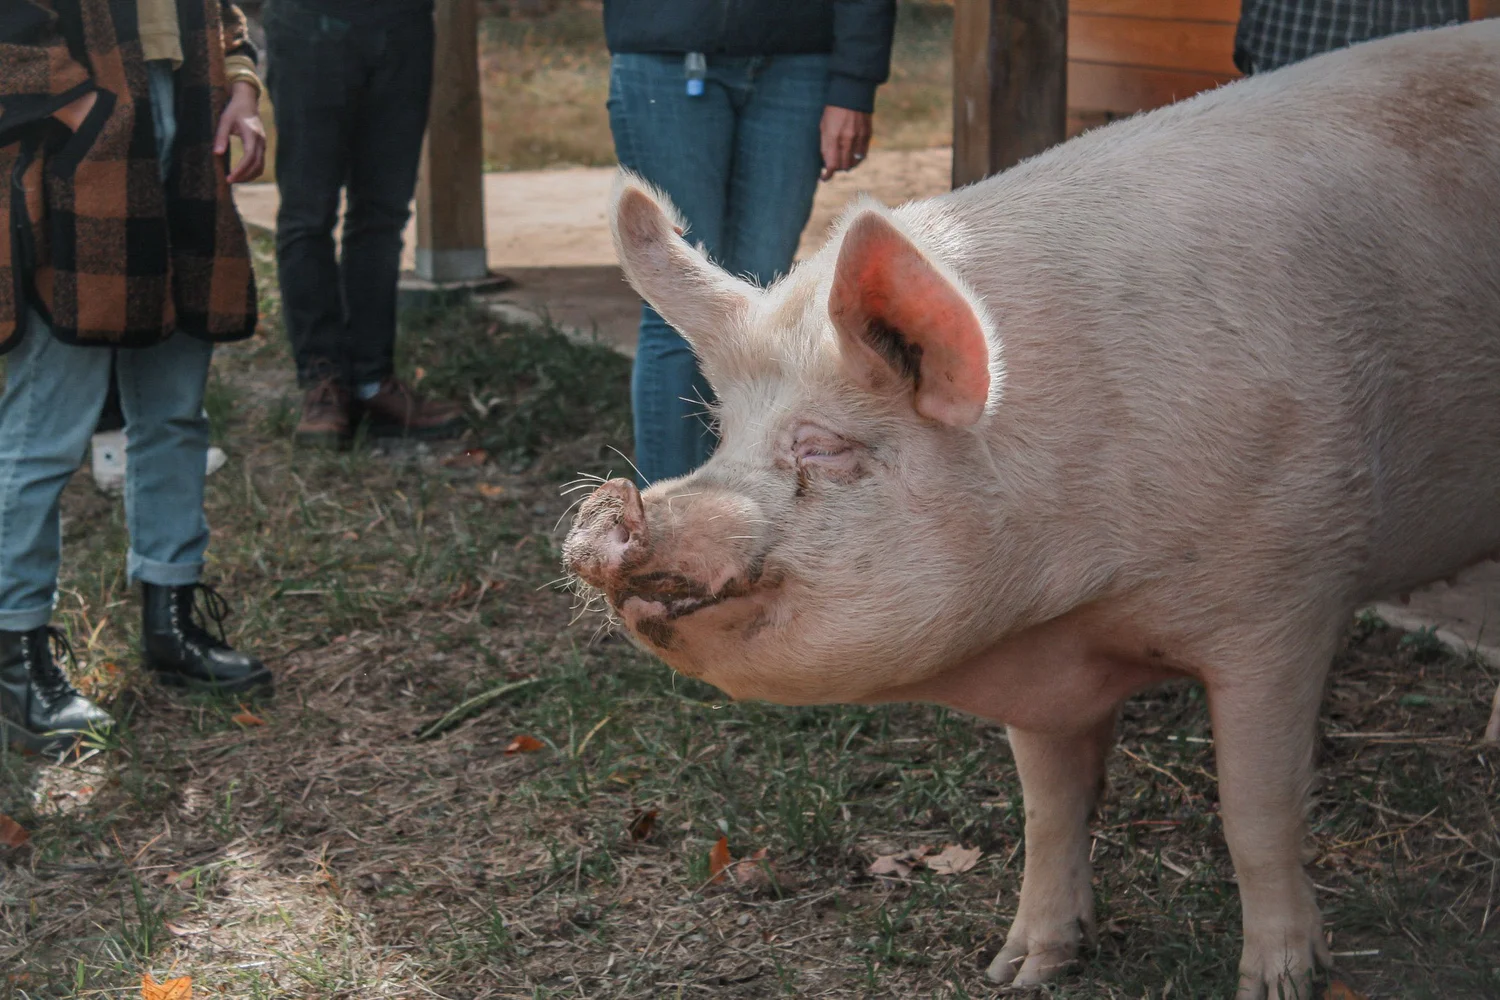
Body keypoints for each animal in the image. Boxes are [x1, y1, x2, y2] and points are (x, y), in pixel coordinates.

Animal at [563, 20, 1500, 1000]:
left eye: (824, 447)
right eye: (721, 434)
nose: (612, 513)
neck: (1093, 599)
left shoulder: (1289, 596)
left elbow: (1257, 809)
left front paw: (1278, 982)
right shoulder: (1040, 655)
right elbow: (1048, 808)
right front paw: (1019, 968)